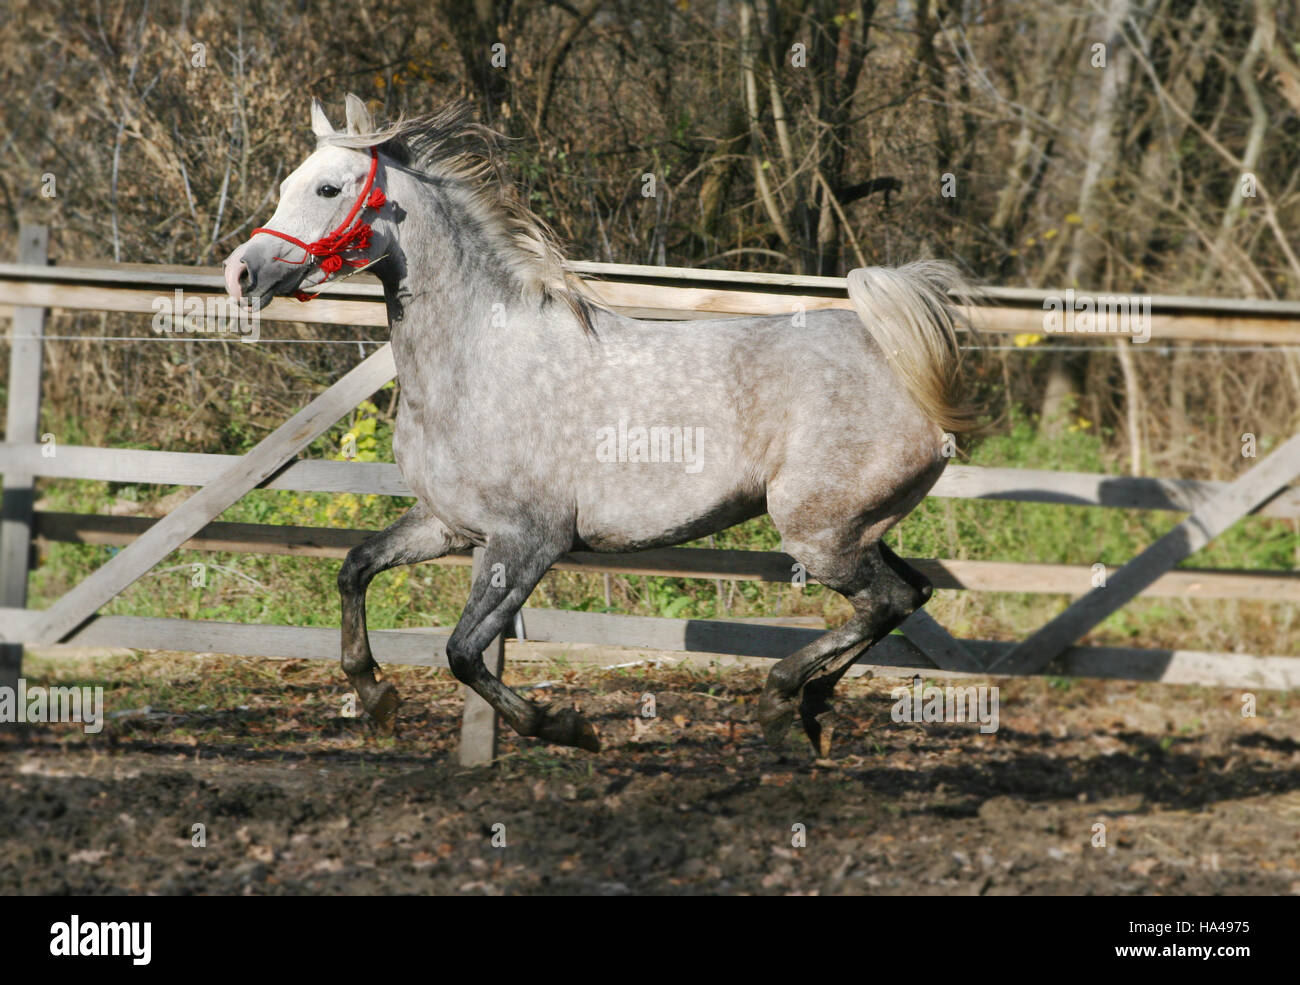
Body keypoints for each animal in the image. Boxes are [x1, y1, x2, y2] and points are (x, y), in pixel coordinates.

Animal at [222, 95, 980, 756]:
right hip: (857, 529)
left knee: (884, 601)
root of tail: (904, 369)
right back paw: (814, 705)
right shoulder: (450, 525)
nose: (240, 273)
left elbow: (464, 653)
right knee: (909, 595)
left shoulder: (529, 540)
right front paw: (376, 697)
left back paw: (782, 703)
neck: (477, 357)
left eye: (327, 188)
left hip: (819, 535)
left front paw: (568, 727)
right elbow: (354, 569)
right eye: (288, 183)